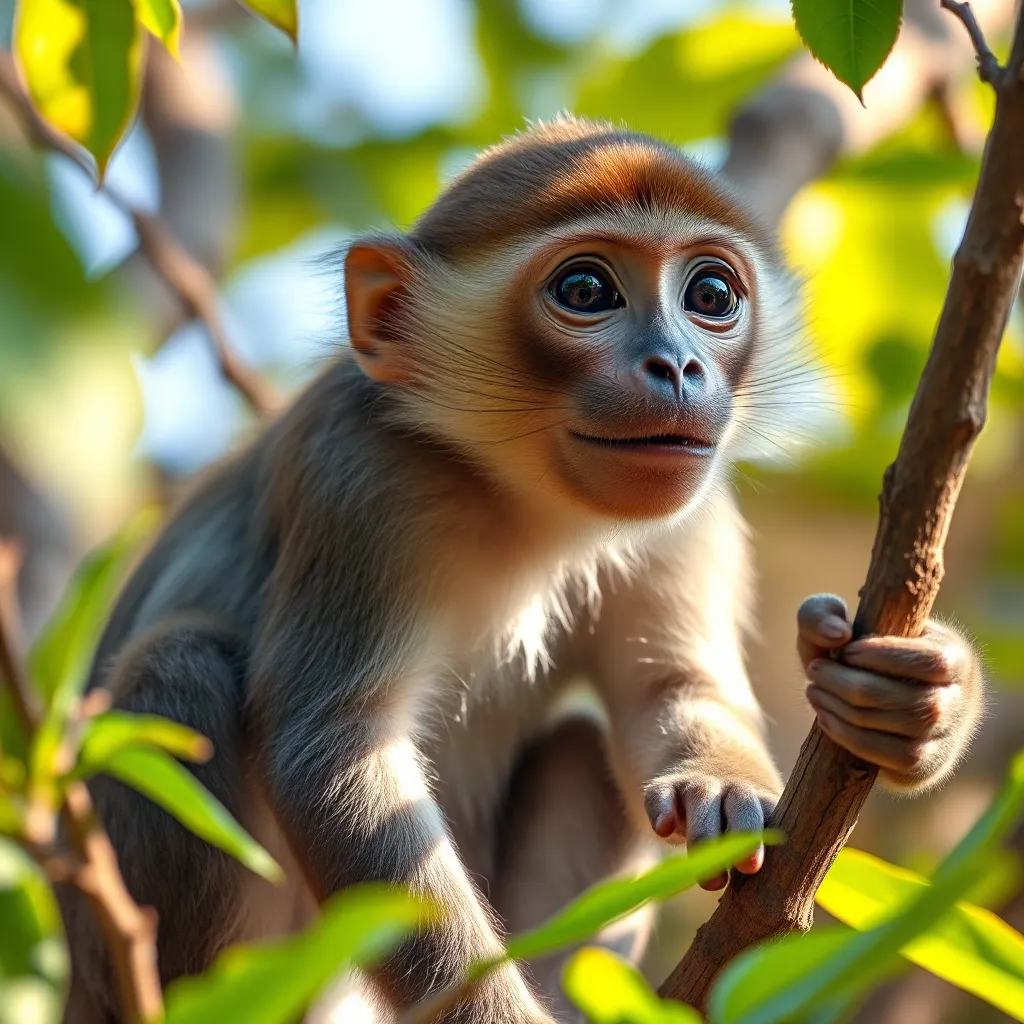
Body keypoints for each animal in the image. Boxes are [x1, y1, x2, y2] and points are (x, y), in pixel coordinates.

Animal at [58, 116, 984, 1024]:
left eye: (712, 298)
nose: (679, 366)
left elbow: (673, 692)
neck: (522, 505)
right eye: (586, 291)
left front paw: (910, 704)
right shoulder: (359, 474)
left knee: (586, 751)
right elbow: (335, 749)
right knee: (178, 666)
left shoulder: (686, 518)